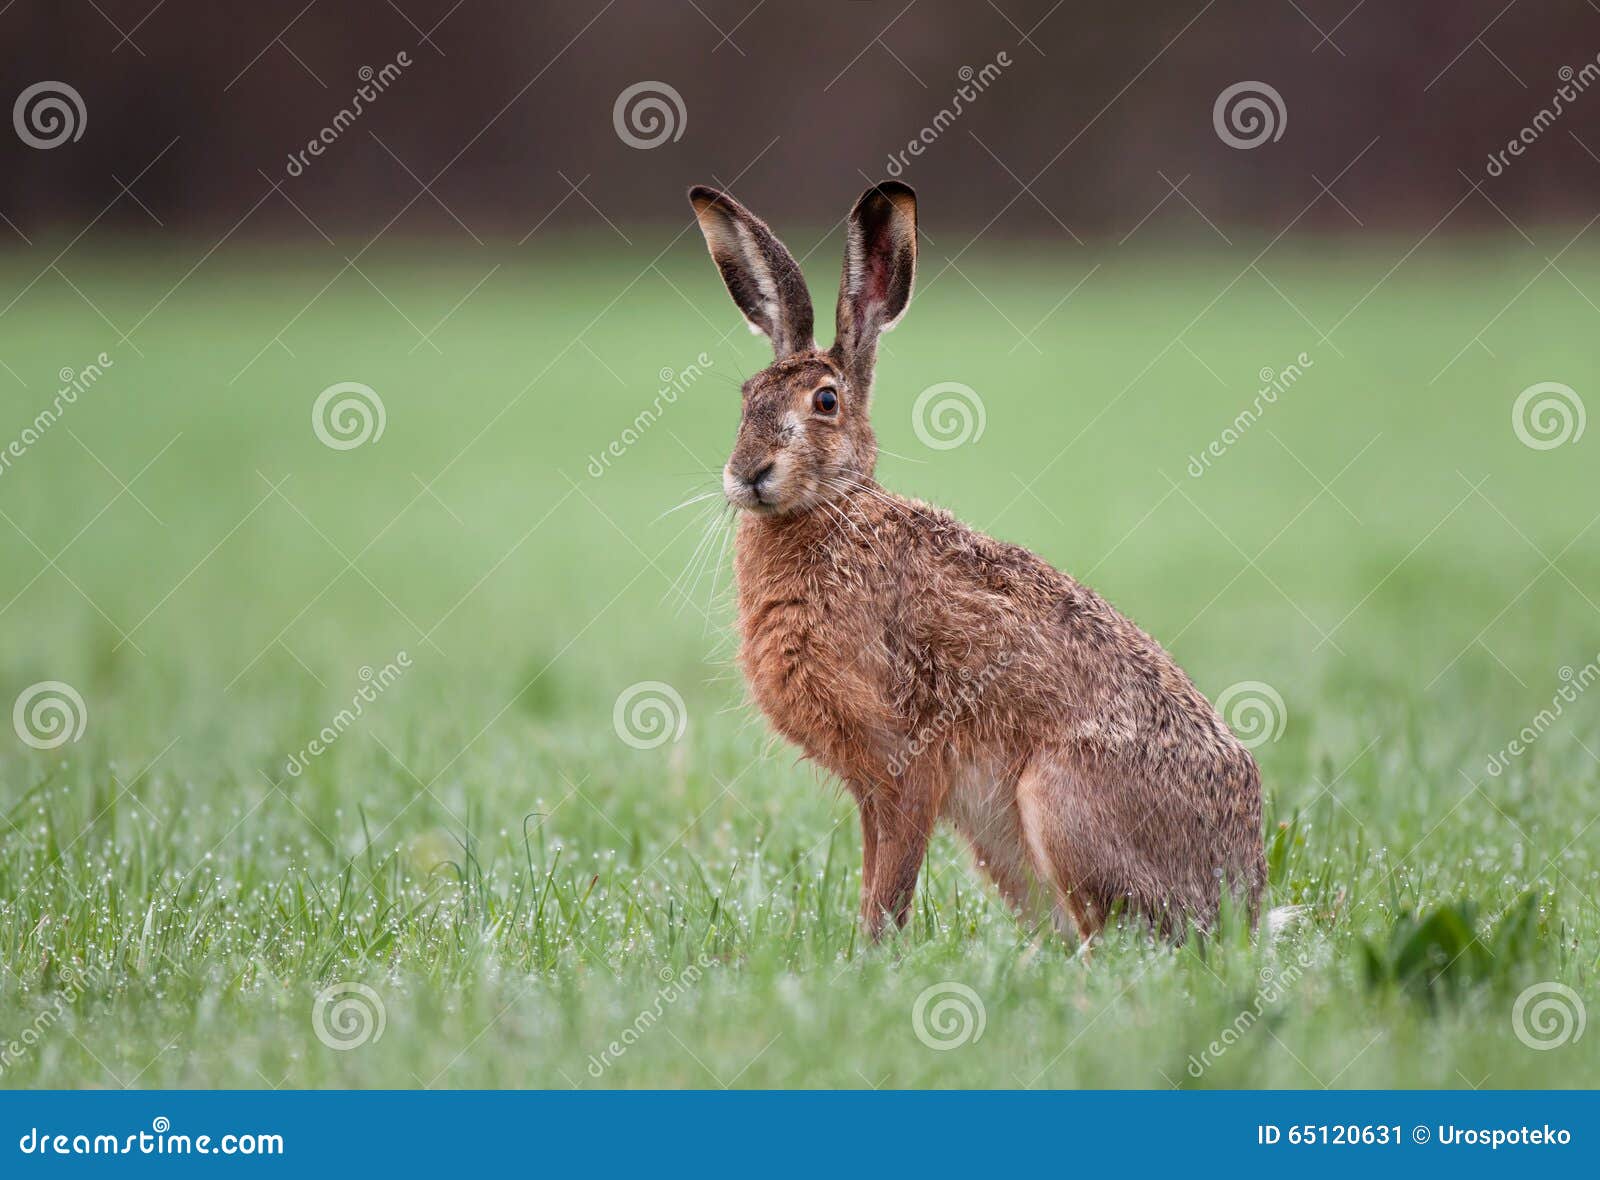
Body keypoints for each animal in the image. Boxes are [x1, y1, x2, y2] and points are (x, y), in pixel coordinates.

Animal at [688, 180, 1266, 945]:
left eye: (826, 401)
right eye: (746, 398)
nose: (748, 474)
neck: (835, 512)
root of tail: (1243, 905)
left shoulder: (905, 763)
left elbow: (890, 885)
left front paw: (872, 955)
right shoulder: (873, 786)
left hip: (1057, 801)